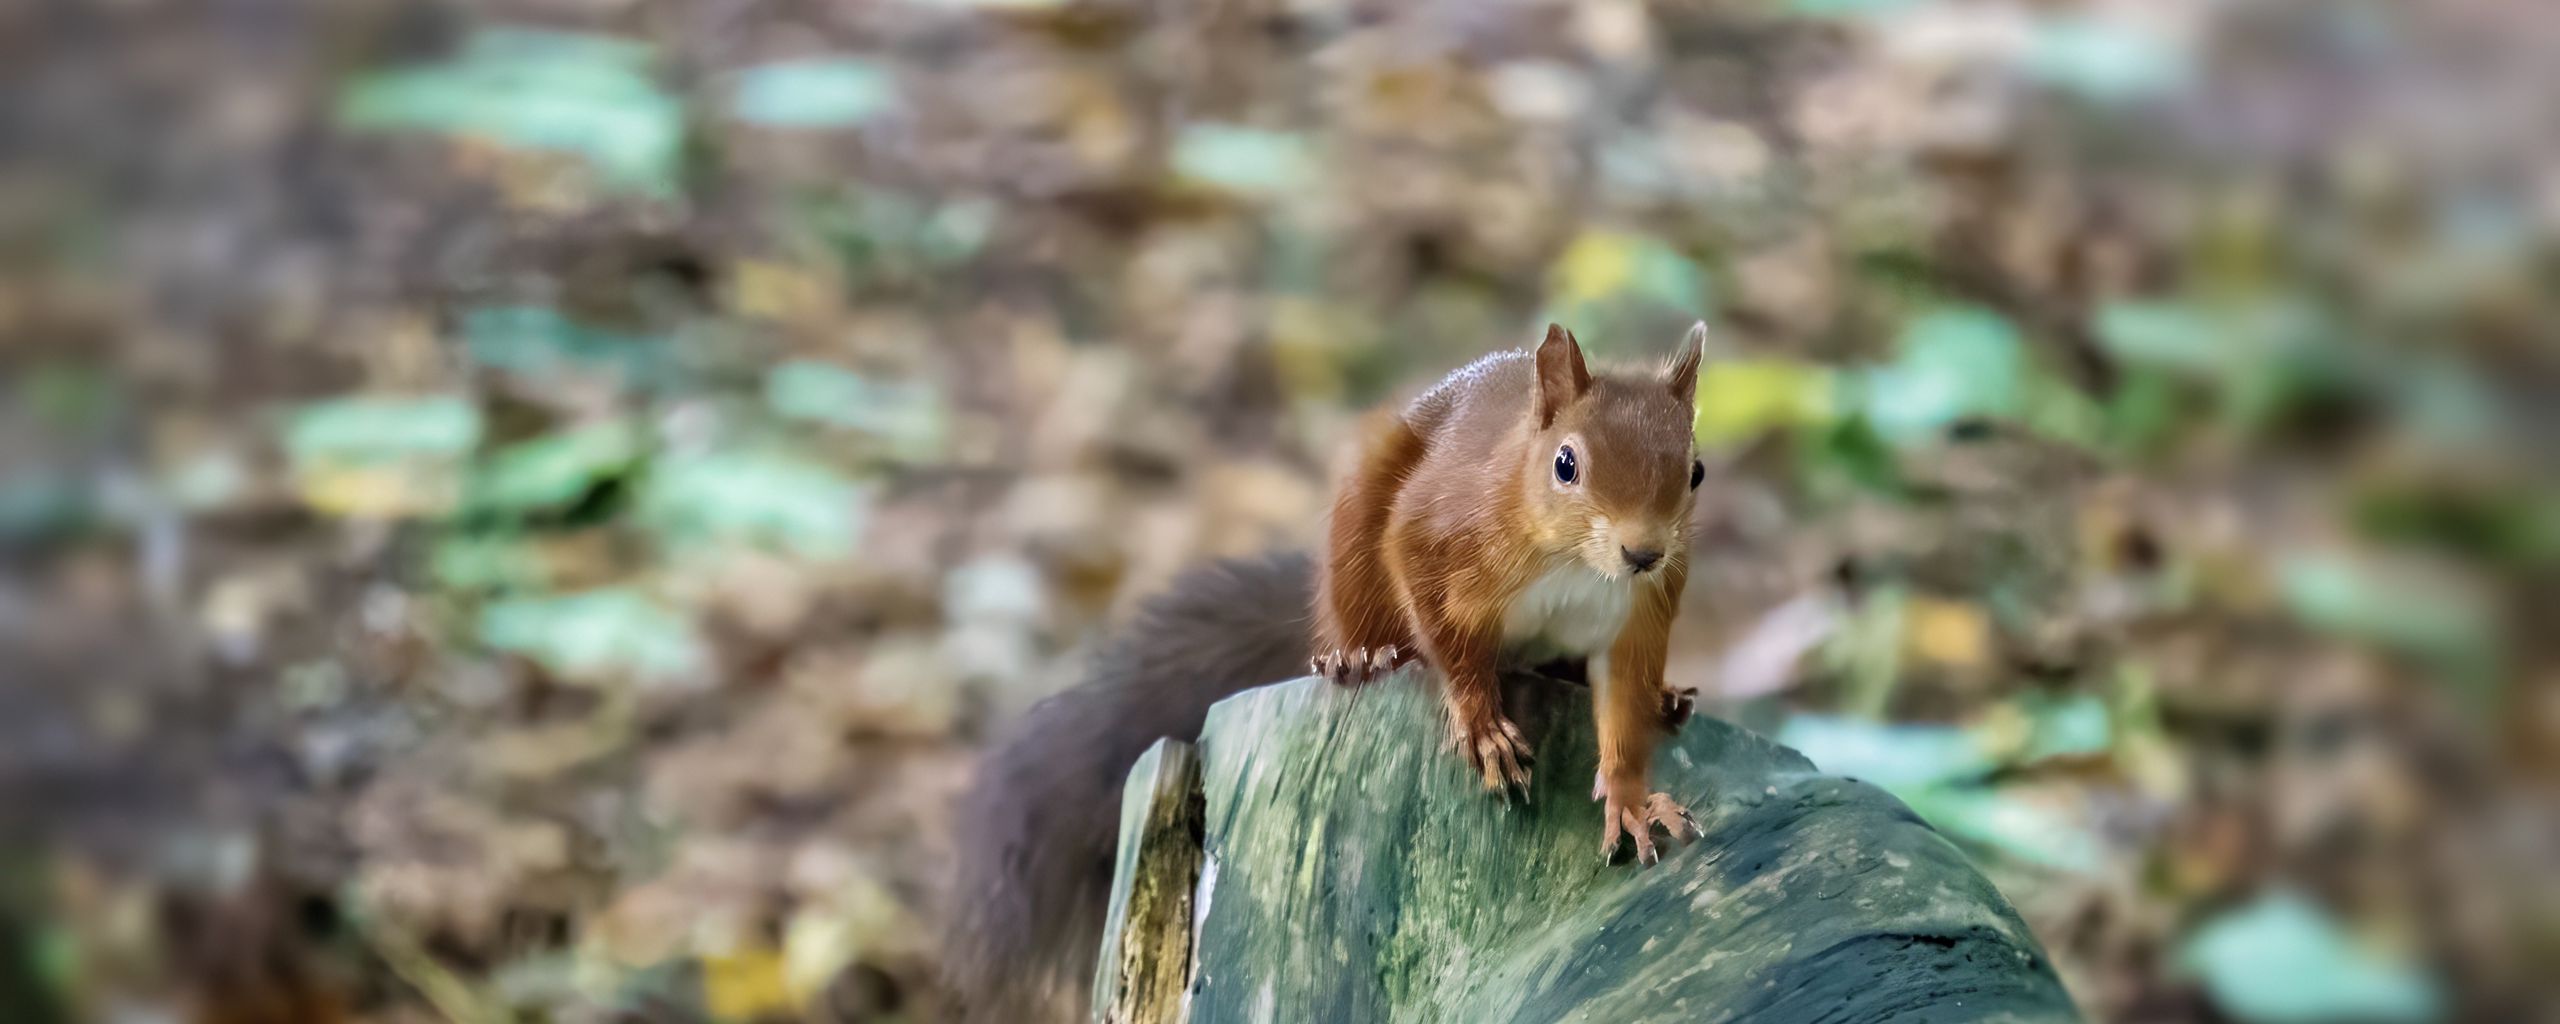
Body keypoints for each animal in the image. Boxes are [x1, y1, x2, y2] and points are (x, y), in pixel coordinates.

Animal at [942, 323, 1710, 1022]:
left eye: (1696, 471)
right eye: (1565, 464)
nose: (1643, 552)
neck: (1575, 564)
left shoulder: (1639, 619)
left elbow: (1623, 708)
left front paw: (1630, 796)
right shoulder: (1442, 534)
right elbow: (1446, 629)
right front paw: (1481, 722)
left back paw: (1667, 698)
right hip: (1358, 523)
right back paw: (1363, 655)